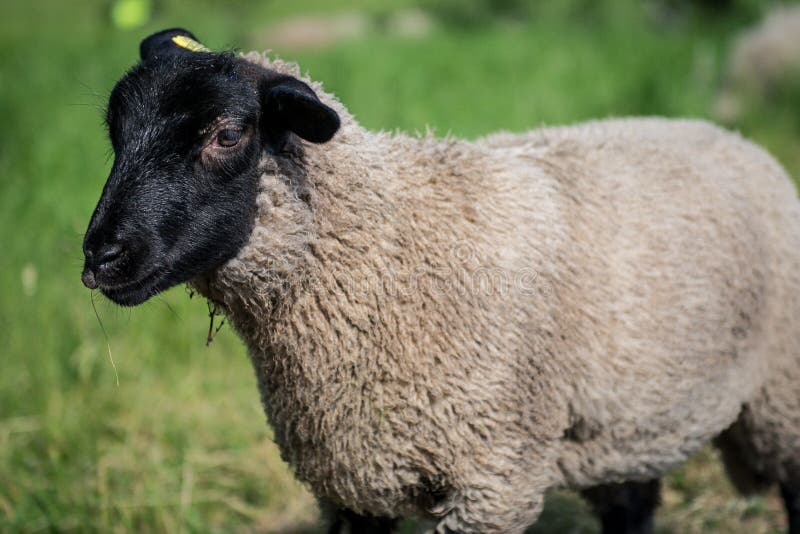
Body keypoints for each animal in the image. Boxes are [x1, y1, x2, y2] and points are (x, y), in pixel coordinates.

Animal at [82, 28, 800, 534]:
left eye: (228, 133)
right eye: (114, 132)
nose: (99, 257)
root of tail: (730, 136)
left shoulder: (494, 481)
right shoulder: (351, 488)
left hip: (780, 397)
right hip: (625, 425)